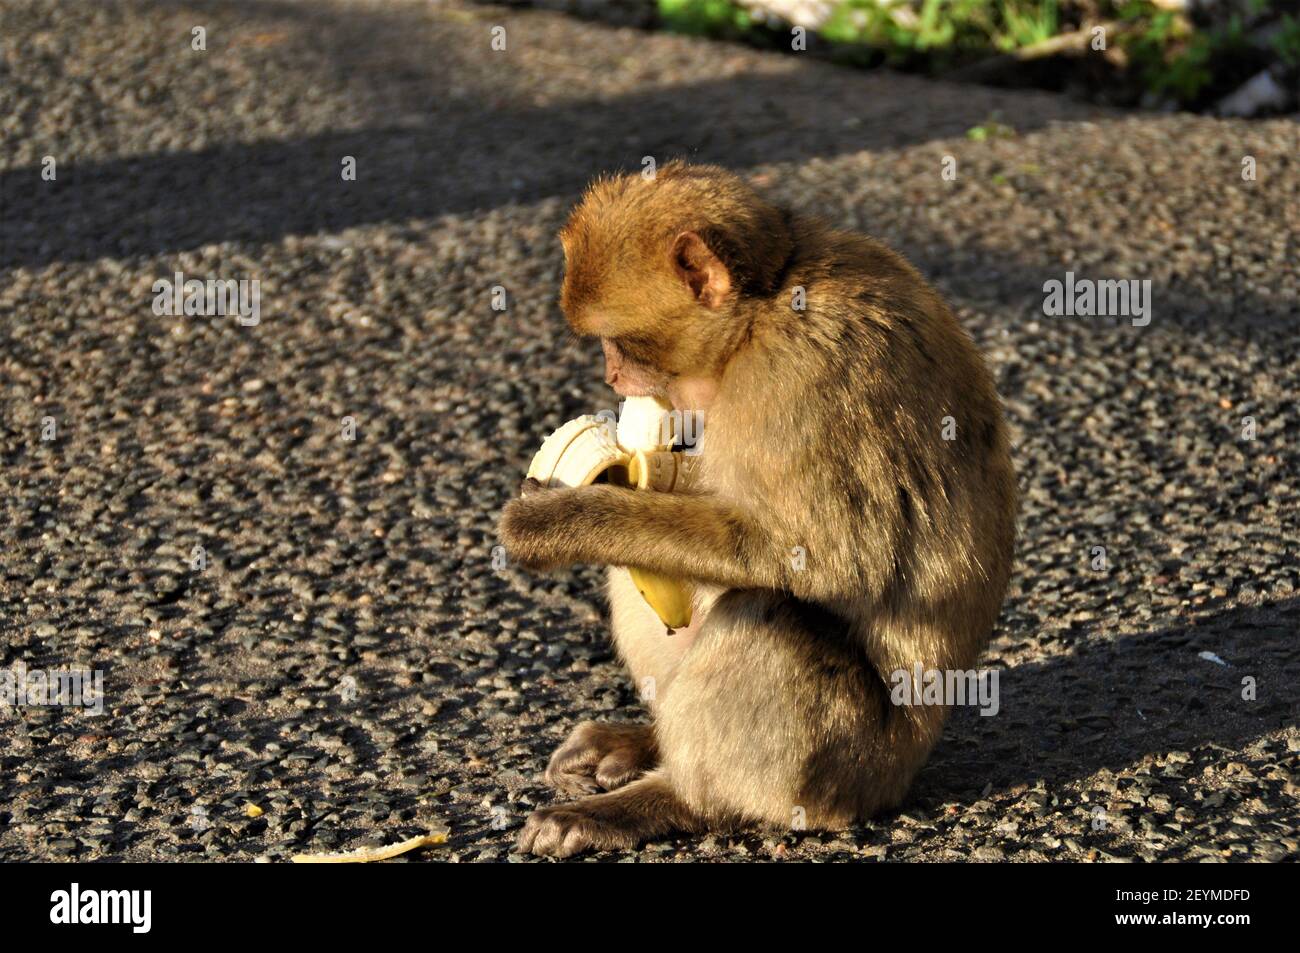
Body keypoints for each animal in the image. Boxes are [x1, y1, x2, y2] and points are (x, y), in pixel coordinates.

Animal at [499, 161, 1016, 858]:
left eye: (618, 343)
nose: (611, 378)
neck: (765, 307)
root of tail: (905, 773)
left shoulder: (805, 379)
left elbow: (825, 560)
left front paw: (559, 521)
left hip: (850, 767)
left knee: (765, 614)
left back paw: (668, 801)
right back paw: (644, 743)